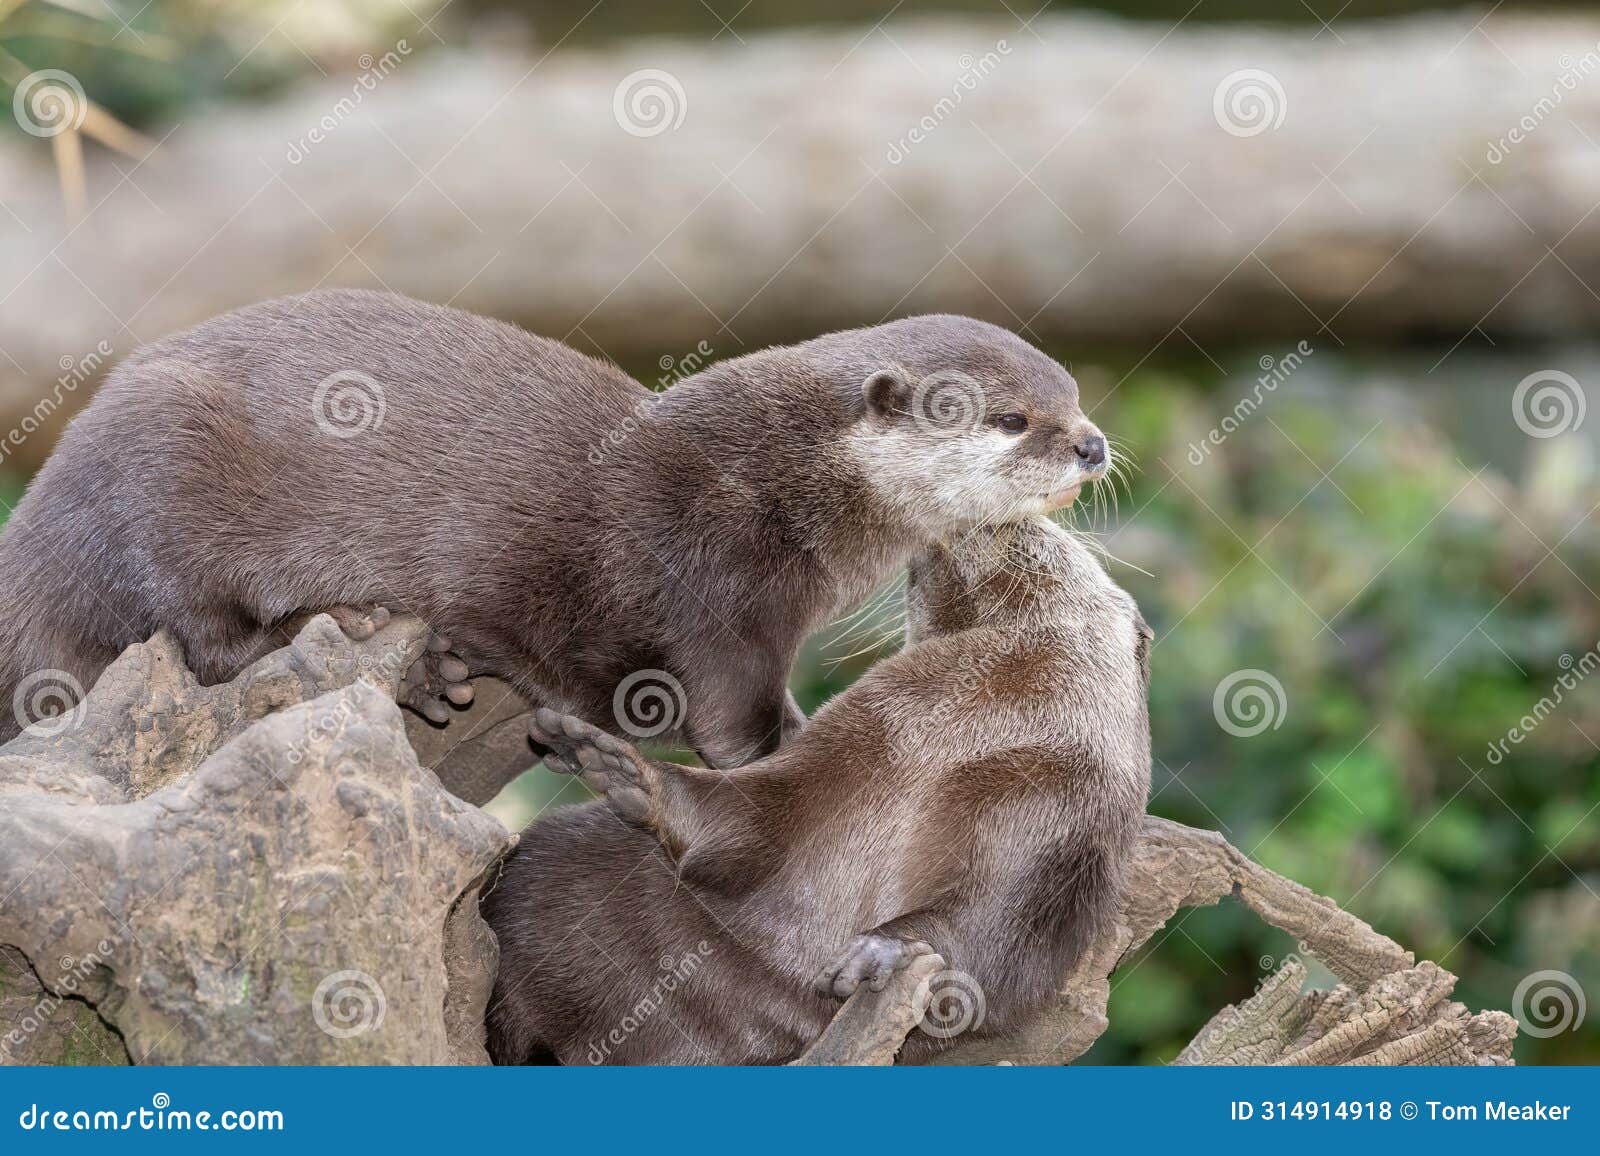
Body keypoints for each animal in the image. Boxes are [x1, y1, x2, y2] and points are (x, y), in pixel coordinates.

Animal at [0, 290, 1109, 766]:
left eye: (1074, 393)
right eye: (1013, 419)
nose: (1094, 445)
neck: (777, 483)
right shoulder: (717, 590)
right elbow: (723, 723)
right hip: (160, 471)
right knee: (199, 635)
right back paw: (373, 637)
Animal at [482, 515, 1152, 1065]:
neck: (961, 737)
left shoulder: (1059, 820)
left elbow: (995, 943)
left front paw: (881, 954)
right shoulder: (835, 754)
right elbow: (740, 816)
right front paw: (617, 767)